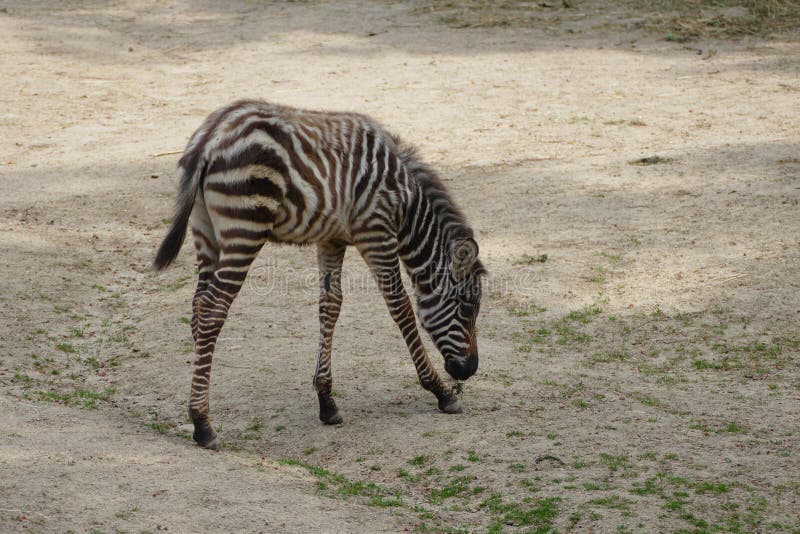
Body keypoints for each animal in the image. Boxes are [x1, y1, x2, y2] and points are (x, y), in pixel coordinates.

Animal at [153, 100, 485, 450]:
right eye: (467, 306)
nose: (470, 370)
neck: (406, 203)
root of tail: (210, 136)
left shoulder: (332, 239)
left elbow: (331, 305)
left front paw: (326, 401)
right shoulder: (376, 233)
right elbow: (402, 309)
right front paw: (441, 391)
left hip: (206, 230)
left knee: (198, 307)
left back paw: (200, 398)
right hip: (245, 227)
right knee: (213, 310)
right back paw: (203, 424)